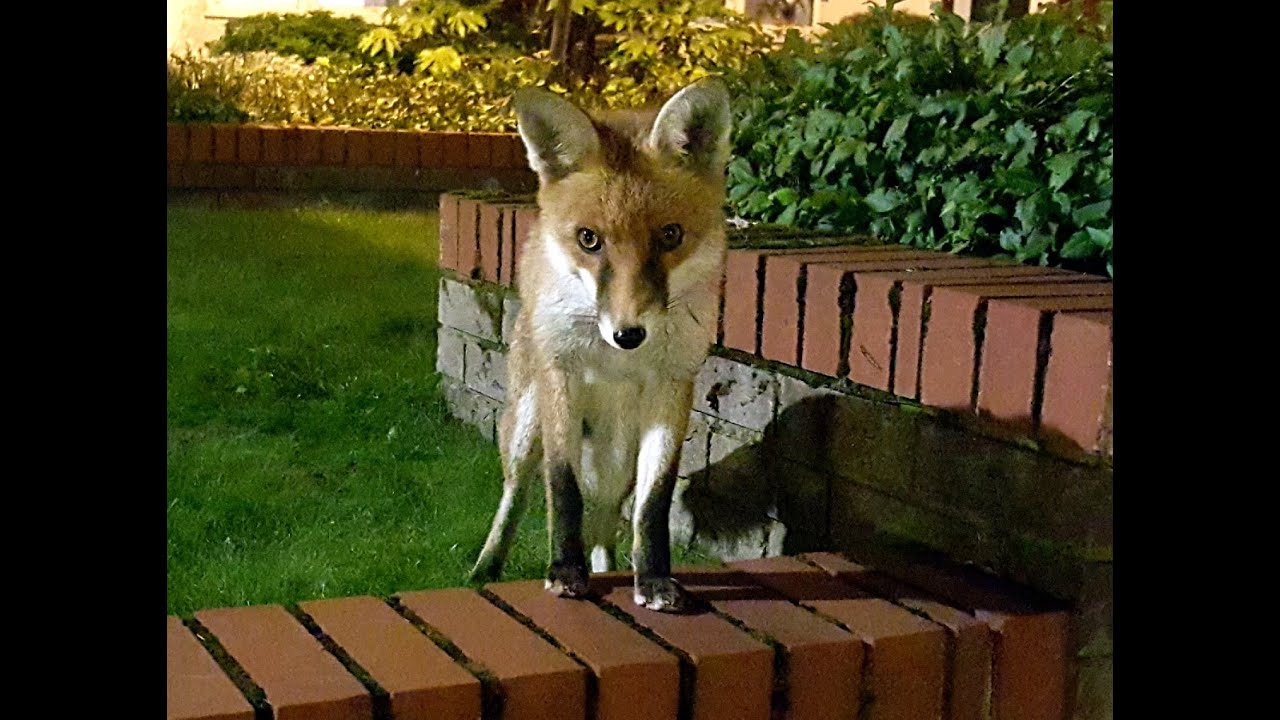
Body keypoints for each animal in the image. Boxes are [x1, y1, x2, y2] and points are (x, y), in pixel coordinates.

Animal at [468, 78, 732, 612]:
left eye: (670, 235)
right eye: (589, 239)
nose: (628, 334)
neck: (618, 363)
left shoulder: (672, 390)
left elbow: (653, 505)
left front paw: (652, 579)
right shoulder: (561, 380)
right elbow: (563, 491)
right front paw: (564, 571)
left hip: (620, 456)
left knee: (608, 517)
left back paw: (608, 568)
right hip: (527, 423)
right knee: (515, 494)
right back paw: (486, 568)